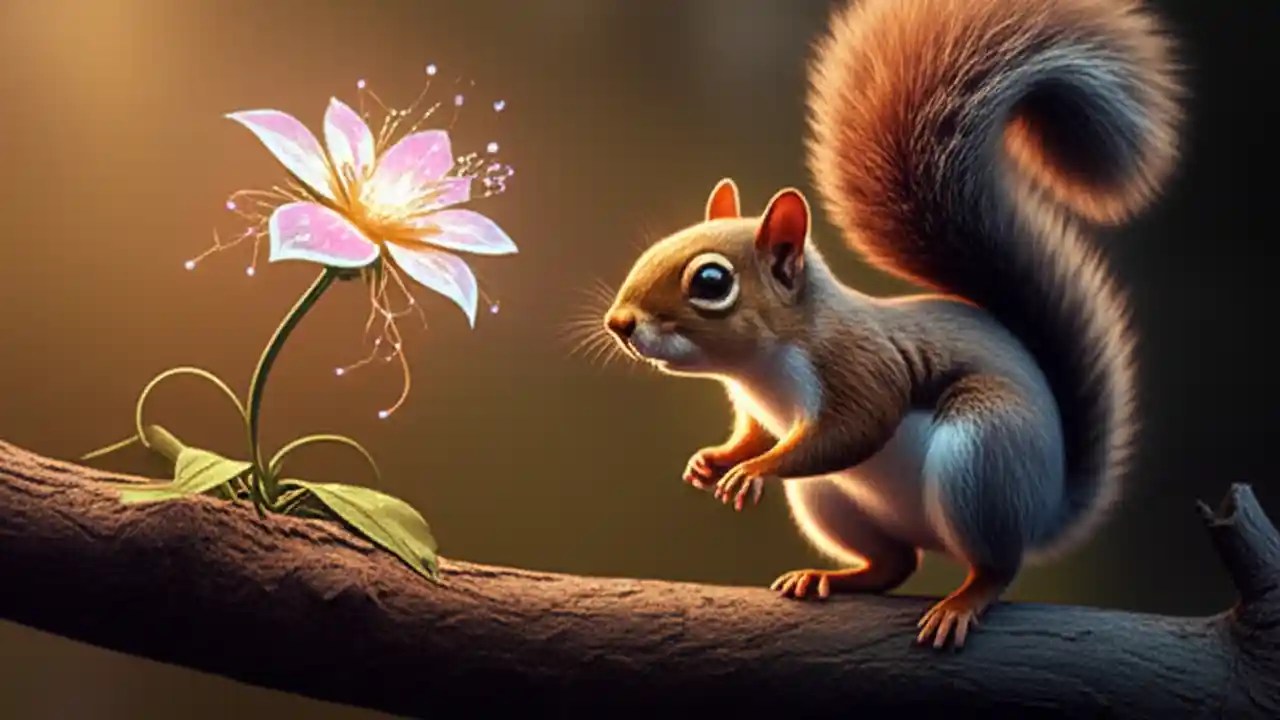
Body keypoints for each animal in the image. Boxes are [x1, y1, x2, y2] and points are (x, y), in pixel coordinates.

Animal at [602, 0, 1181, 650]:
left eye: (710, 281)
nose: (619, 323)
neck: (760, 371)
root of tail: (1047, 502)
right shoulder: (756, 408)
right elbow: (753, 432)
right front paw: (715, 459)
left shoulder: (860, 366)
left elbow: (858, 426)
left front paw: (754, 470)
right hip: (829, 499)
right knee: (896, 564)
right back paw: (828, 578)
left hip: (981, 459)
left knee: (995, 566)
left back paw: (961, 601)